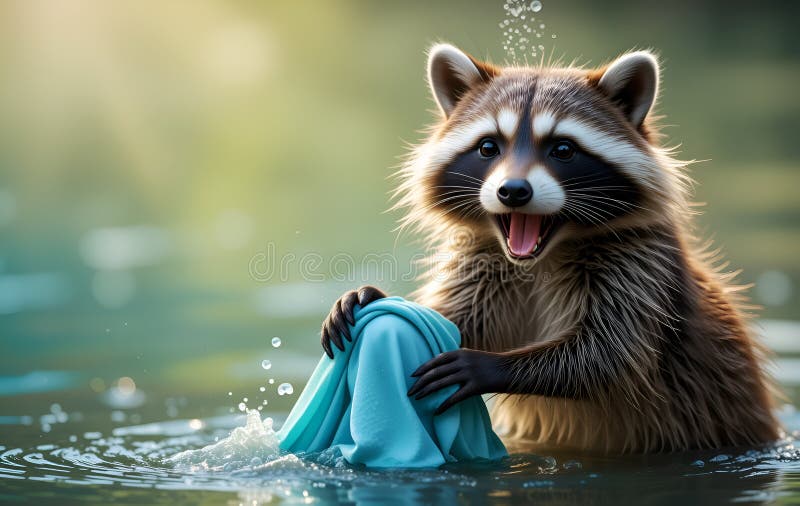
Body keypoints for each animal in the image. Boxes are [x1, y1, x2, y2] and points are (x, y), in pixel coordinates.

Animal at [321, 44, 781, 452]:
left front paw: (490, 366)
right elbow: (458, 318)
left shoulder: (642, 272)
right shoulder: (483, 263)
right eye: (488, 147)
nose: (512, 191)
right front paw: (373, 297)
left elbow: (608, 353)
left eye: (562, 149)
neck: (540, 259)